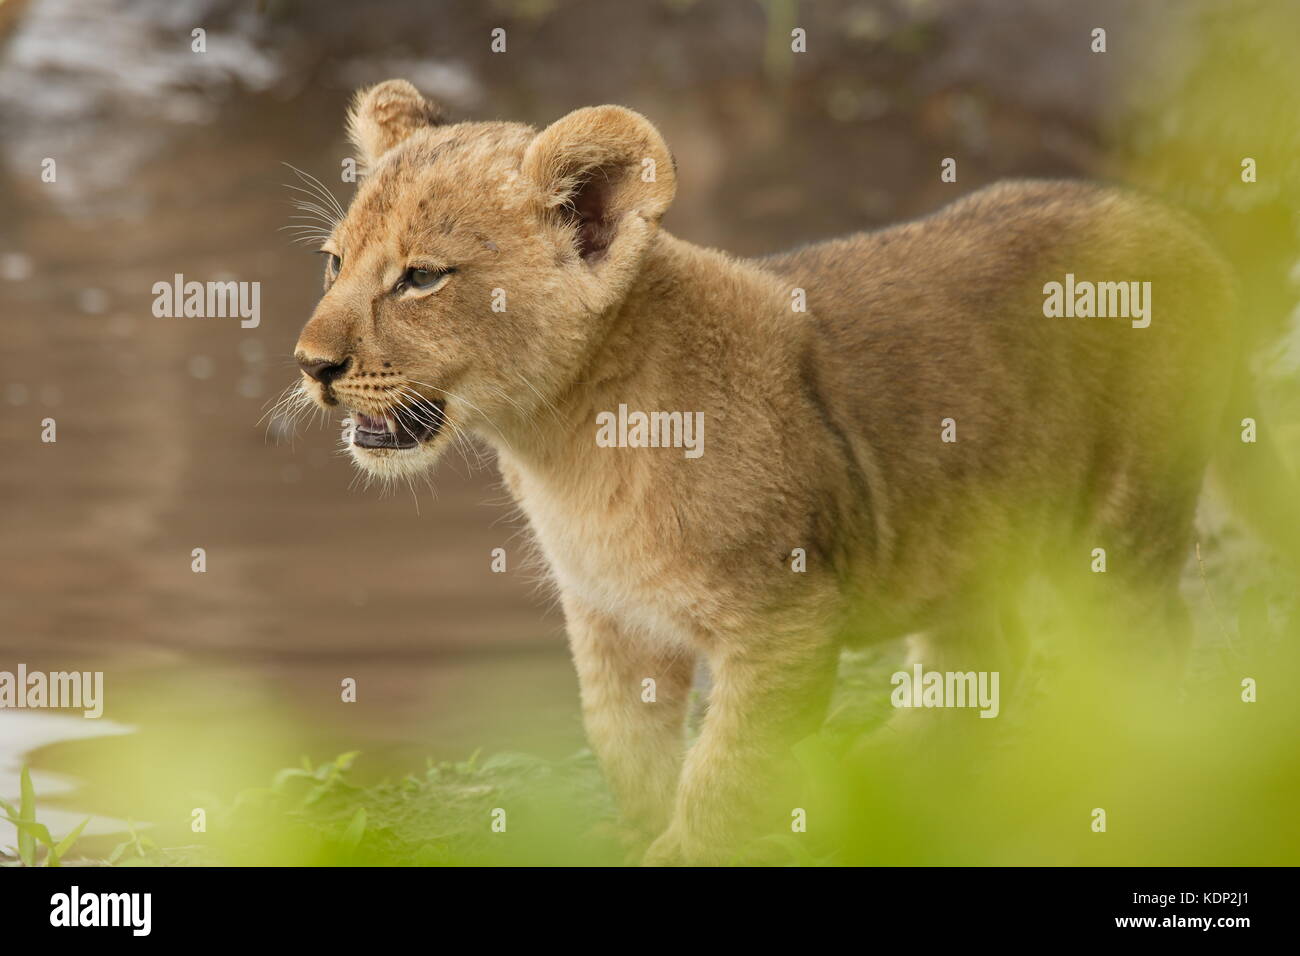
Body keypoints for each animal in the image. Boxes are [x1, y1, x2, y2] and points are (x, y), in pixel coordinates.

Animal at [292, 79, 1252, 865]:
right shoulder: (610, 616)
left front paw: (688, 849)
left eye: (421, 278)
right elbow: (625, 746)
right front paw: (639, 832)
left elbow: (727, 772)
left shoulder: (785, 617)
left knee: (1150, 644)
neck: (561, 442)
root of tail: (1186, 229)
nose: (311, 365)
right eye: (335, 263)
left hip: (1123, 524)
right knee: (986, 653)